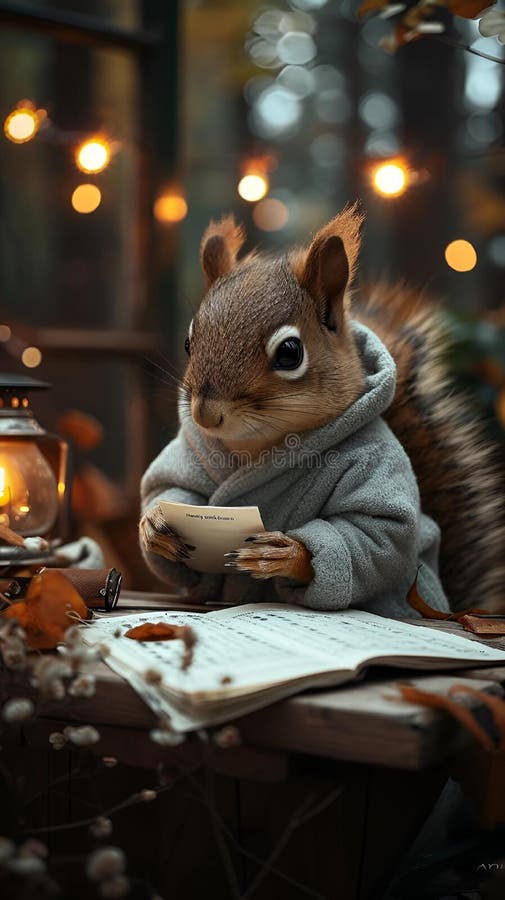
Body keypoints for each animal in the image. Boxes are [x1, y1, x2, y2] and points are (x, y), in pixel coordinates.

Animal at [139, 205, 505, 615]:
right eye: (189, 343)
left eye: (289, 353)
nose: (205, 415)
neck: (260, 445)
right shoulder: (190, 453)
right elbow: (167, 486)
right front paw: (154, 524)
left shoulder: (376, 461)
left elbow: (378, 531)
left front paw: (286, 556)